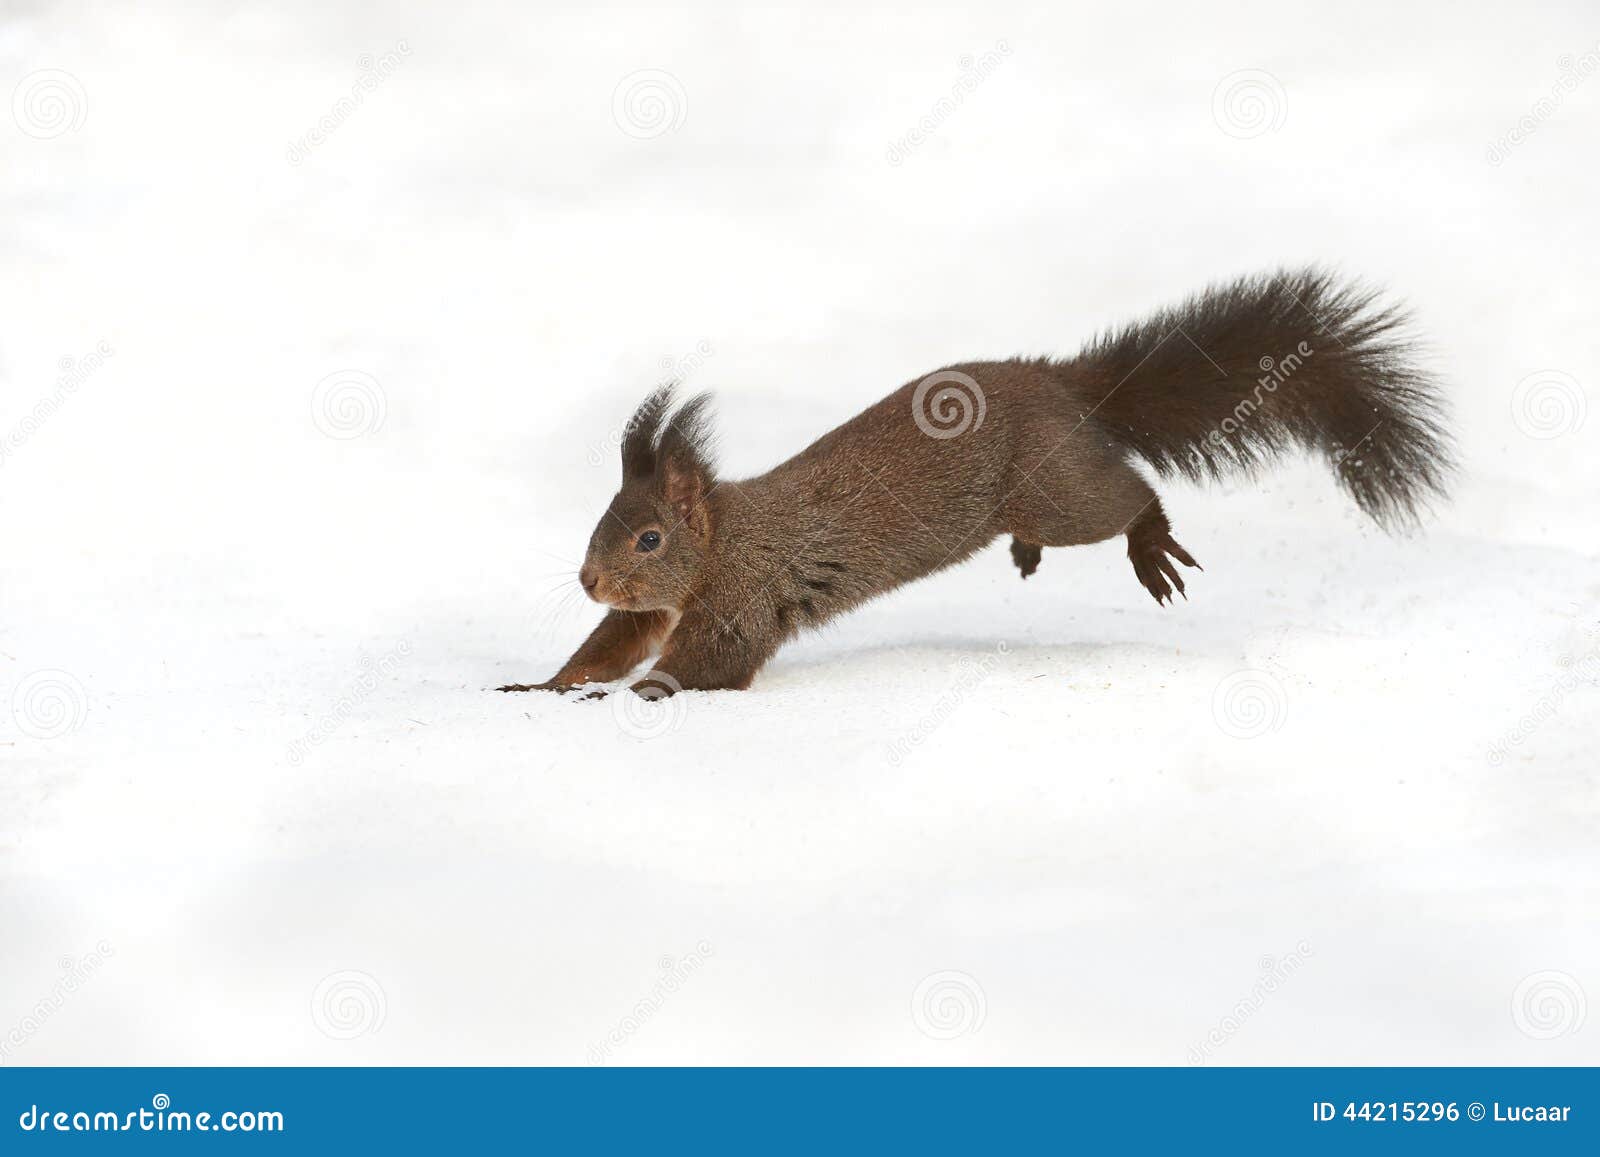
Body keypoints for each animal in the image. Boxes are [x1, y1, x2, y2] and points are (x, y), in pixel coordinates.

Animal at [499, 268, 1452, 699]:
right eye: (602, 520)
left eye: (649, 536)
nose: (589, 579)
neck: (722, 538)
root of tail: (1065, 388)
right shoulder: (655, 609)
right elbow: (609, 645)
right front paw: (541, 687)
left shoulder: (740, 594)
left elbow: (701, 666)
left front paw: (620, 700)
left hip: (1053, 487)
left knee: (1125, 497)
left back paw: (1149, 541)